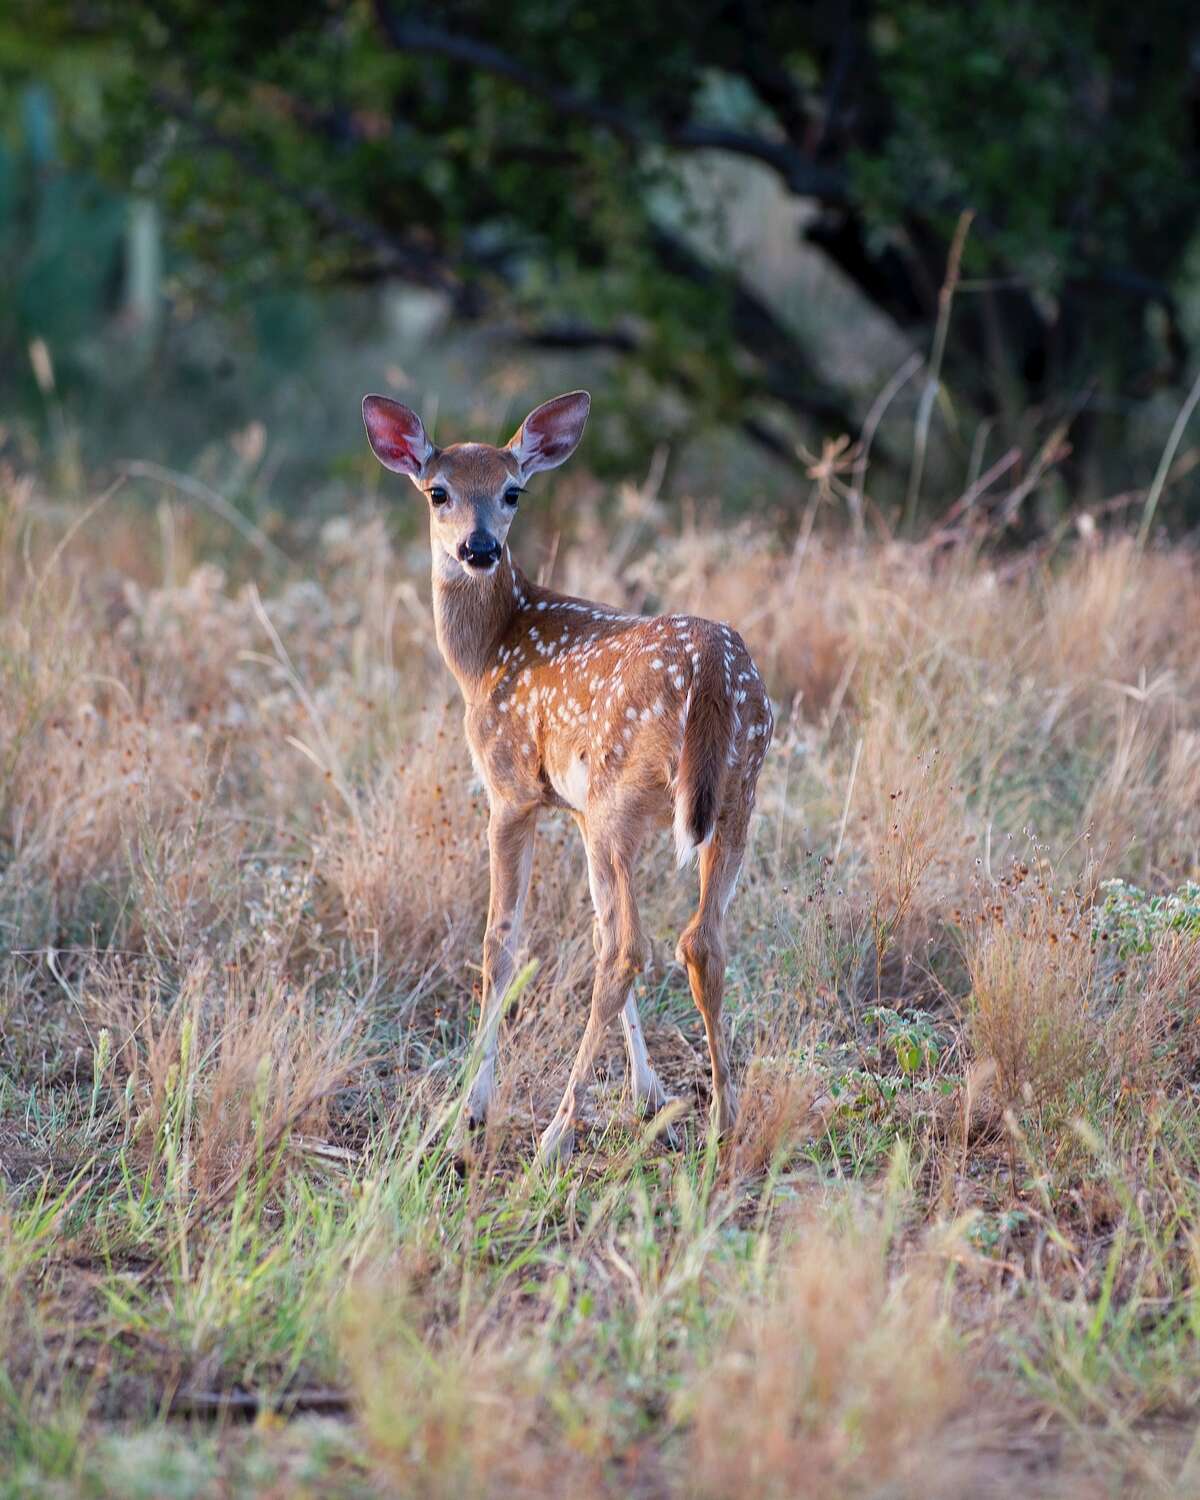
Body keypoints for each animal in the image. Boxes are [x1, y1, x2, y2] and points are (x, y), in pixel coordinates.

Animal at [362, 389, 773, 1164]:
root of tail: (712, 669)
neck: (486, 654)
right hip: (736, 795)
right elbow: (589, 922)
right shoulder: (577, 811)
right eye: (438, 492)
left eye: (512, 492)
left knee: (628, 949)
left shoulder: (512, 791)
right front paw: (649, 1095)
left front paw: (469, 1110)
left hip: (624, 796)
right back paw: (723, 1119)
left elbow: (500, 943)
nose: (479, 549)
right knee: (695, 940)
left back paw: (557, 1130)